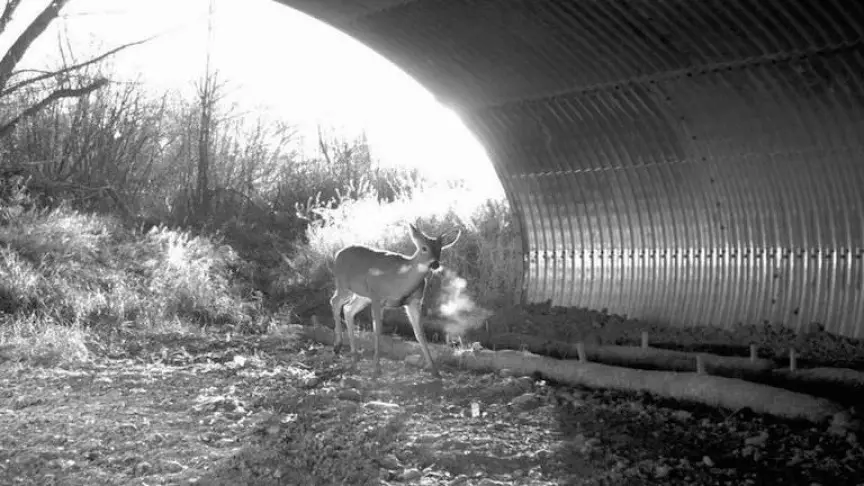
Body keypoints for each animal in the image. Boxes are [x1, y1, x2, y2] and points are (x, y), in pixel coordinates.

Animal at [330, 222, 462, 378]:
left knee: (348, 309)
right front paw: (377, 369)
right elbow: (378, 331)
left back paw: (354, 354)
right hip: (344, 285)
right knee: (335, 301)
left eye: (440, 249)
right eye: (424, 248)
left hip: (362, 295)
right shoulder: (377, 295)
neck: (400, 280)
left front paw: (435, 371)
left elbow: (420, 334)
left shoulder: (414, 302)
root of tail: (337, 254)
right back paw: (337, 346)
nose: (435, 264)